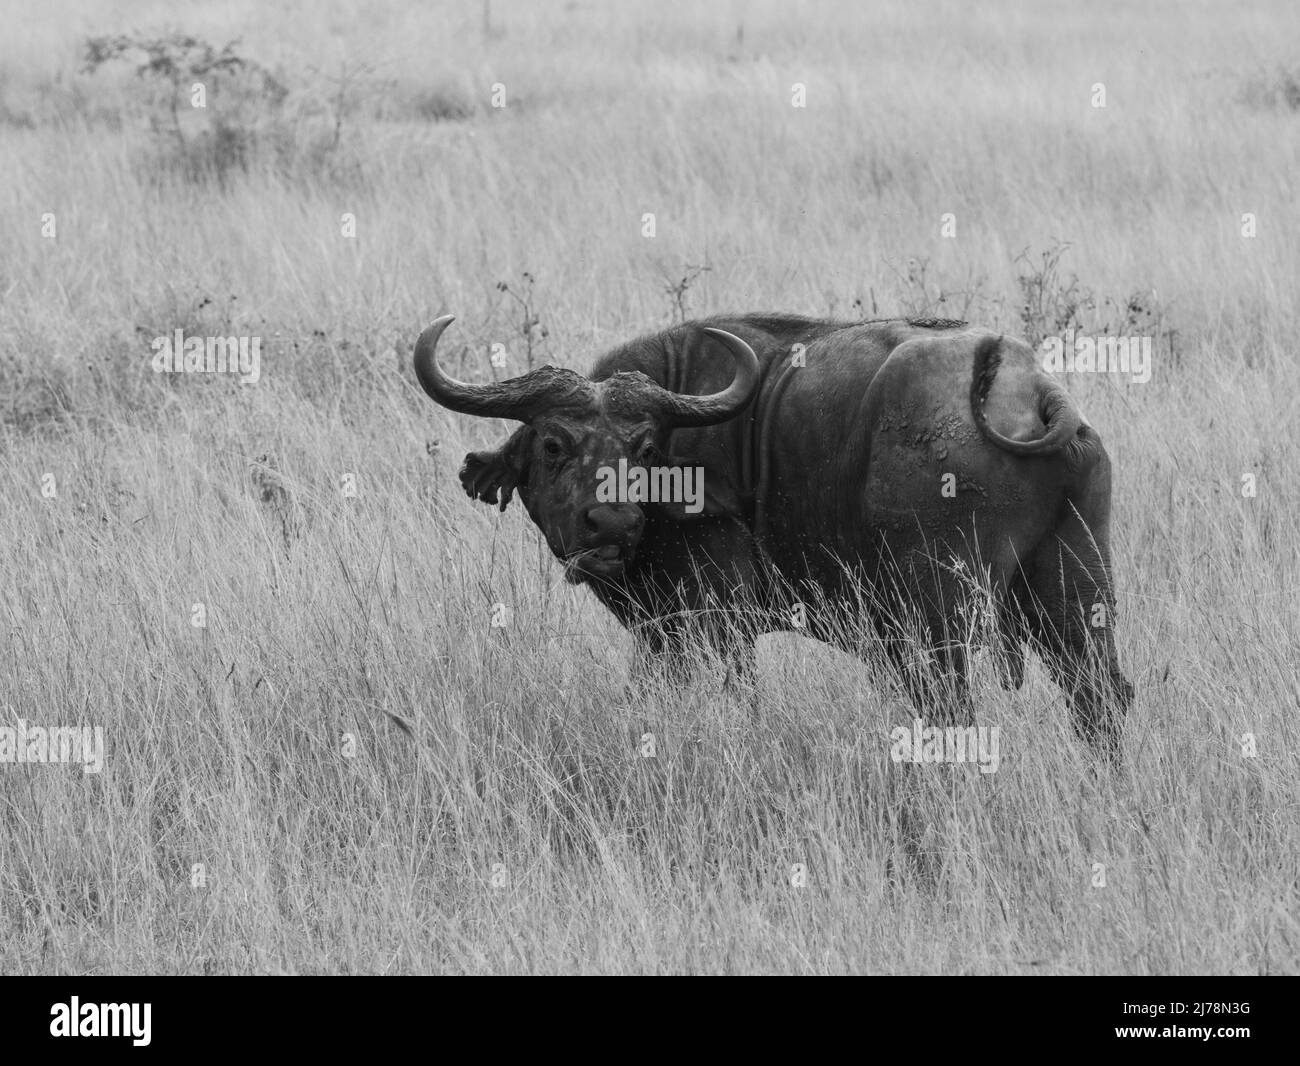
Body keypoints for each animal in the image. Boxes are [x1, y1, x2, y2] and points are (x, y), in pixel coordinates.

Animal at [414, 313, 1133, 755]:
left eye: (645, 448)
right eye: (553, 444)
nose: (613, 521)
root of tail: (1025, 386)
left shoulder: (711, 619)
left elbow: (734, 695)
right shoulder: (662, 631)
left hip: (937, 614)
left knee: (951, 708)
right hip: (1075, 592)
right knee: (1100, 699)